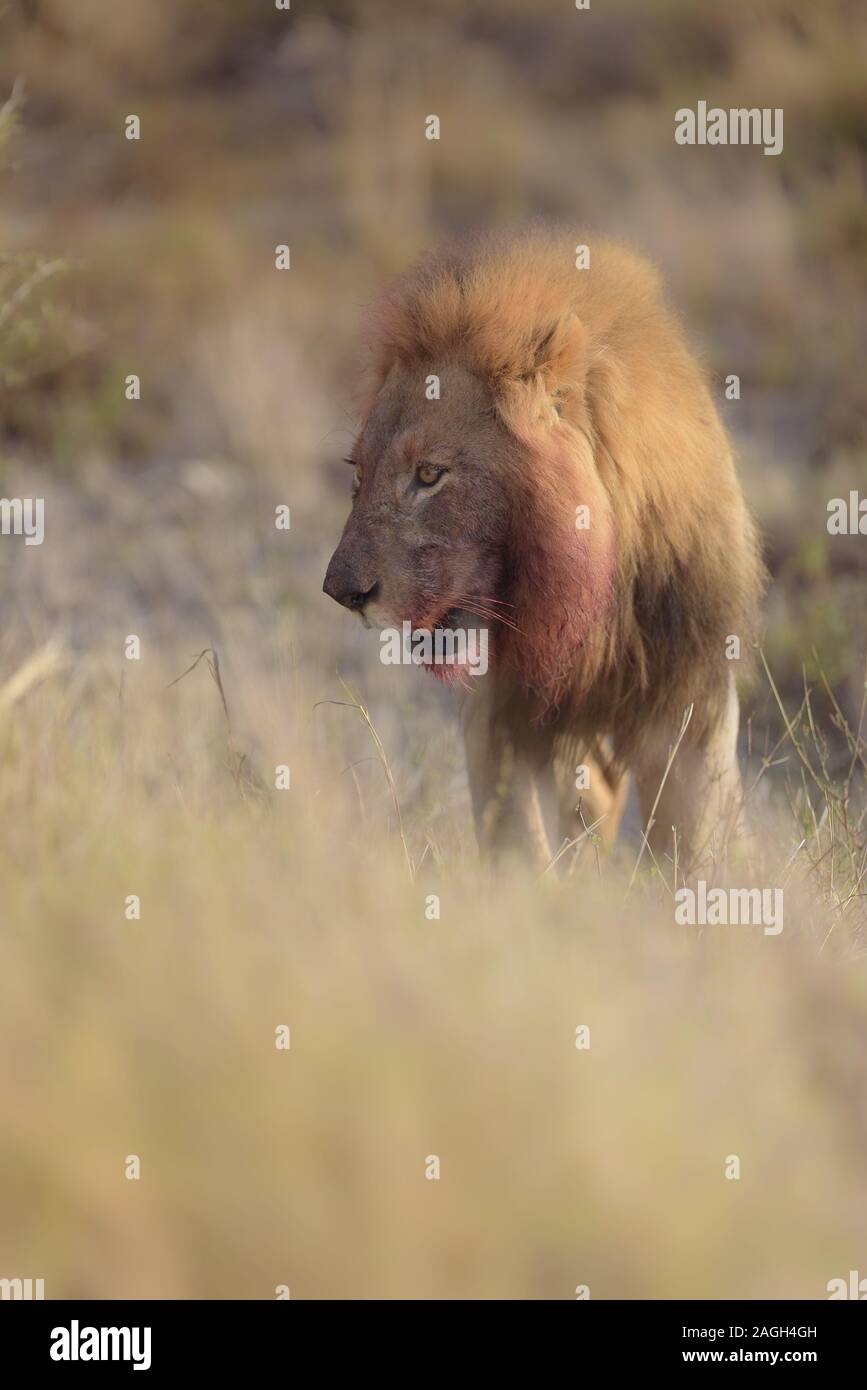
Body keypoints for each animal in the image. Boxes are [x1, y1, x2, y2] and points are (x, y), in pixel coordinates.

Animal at [323, 228, 765, 873]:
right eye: (358, 472)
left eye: (429, 474)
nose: (341, 593)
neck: (592, 601)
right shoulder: (501, 715)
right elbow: (518, 846)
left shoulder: (690, 701)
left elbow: (694, 847)